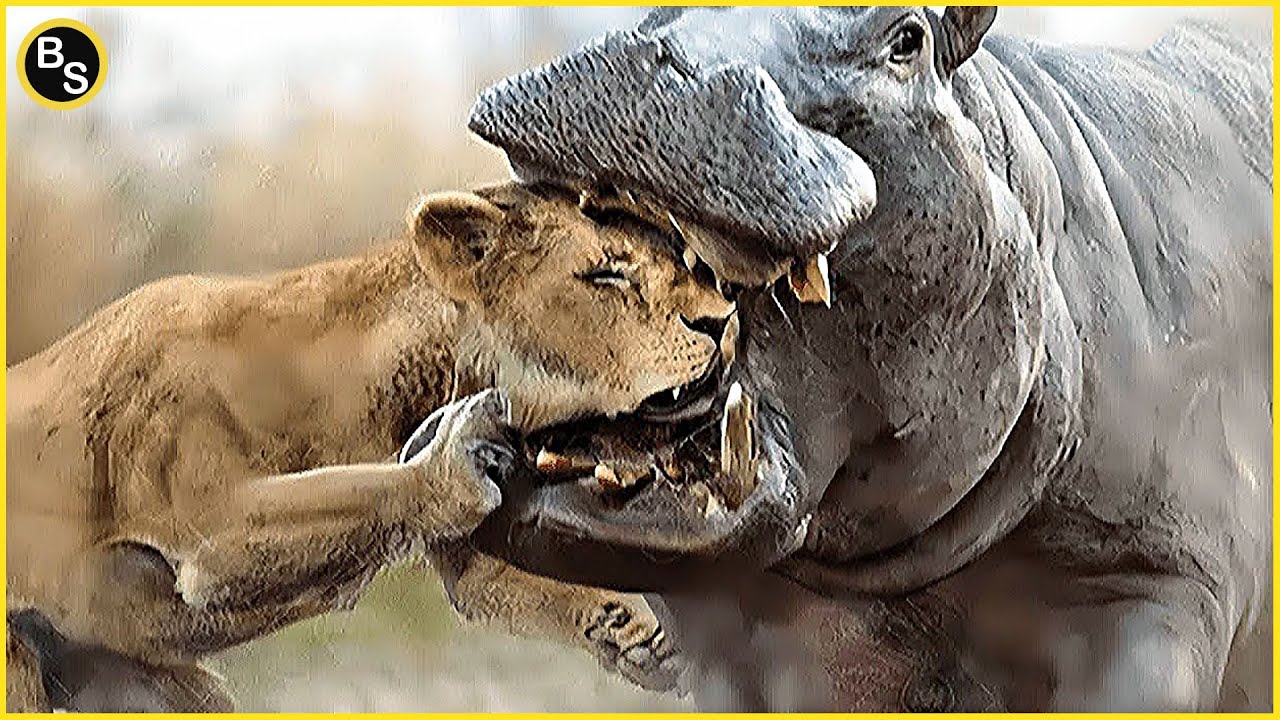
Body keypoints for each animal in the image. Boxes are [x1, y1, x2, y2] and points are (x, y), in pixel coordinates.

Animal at [6, 181, 736, 711]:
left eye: (681, 264)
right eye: (607, 277)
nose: (722, 321)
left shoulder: (471, 565)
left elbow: (506, 586)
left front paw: (640, 634)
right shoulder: (204, 524)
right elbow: (364, 488)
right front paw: (451, 462)